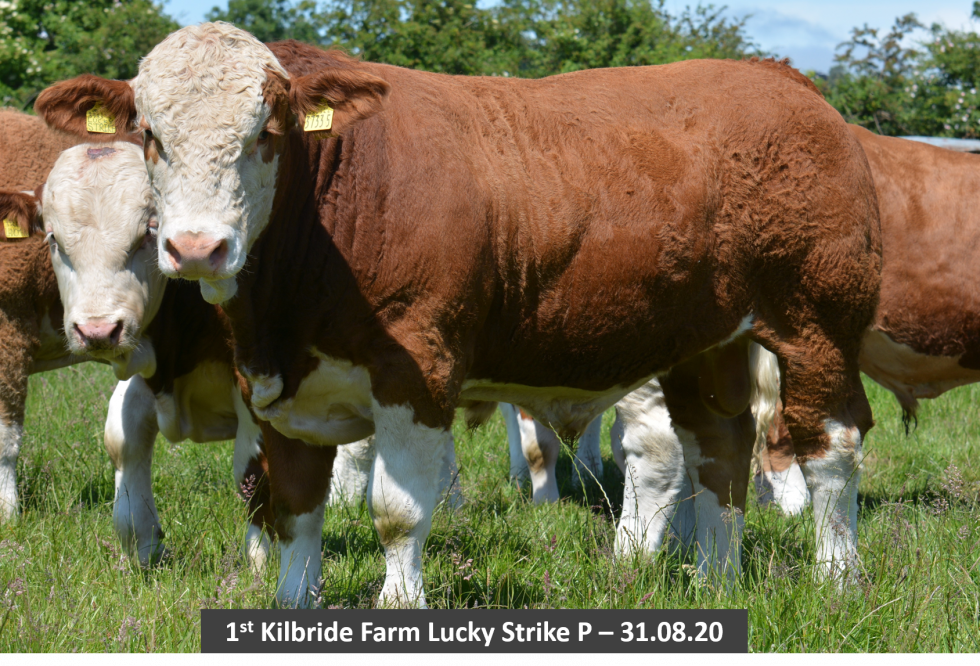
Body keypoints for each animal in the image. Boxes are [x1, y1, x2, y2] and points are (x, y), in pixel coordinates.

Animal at [37, 24, 881, 607]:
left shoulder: (415, 370)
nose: (196, 246)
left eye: (264, 132)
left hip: (816, 327)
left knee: (829, 448)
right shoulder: (278, 389)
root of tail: (780, 79)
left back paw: (839, 579)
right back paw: (716, 578)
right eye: (151, 135)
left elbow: (396, 510)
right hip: (704, 343)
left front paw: (400, 603)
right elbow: (294, 506)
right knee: (719, 450)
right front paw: (290, 600)